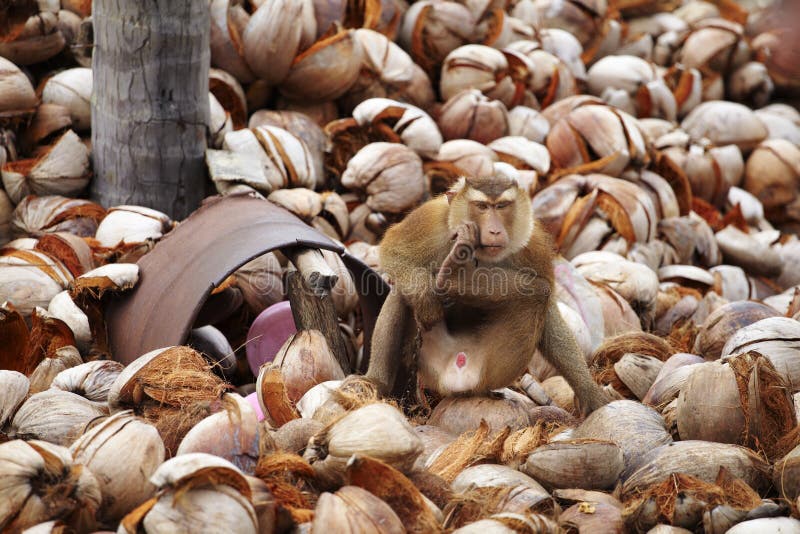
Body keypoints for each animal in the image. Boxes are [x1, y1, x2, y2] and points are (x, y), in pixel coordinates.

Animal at [365, 167, 612, 415]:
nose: (494, 230)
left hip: (488, 369)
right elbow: (394, 250)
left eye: (501, 206)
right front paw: (426, 299)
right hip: (430, 367)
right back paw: (377, 382)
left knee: (538, 293)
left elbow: (550, 317)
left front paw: (587, 390)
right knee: (402, 290)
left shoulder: (533, 245)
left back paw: (454, 276)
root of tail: (458, 375)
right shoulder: (432, 218)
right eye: (482, 206)